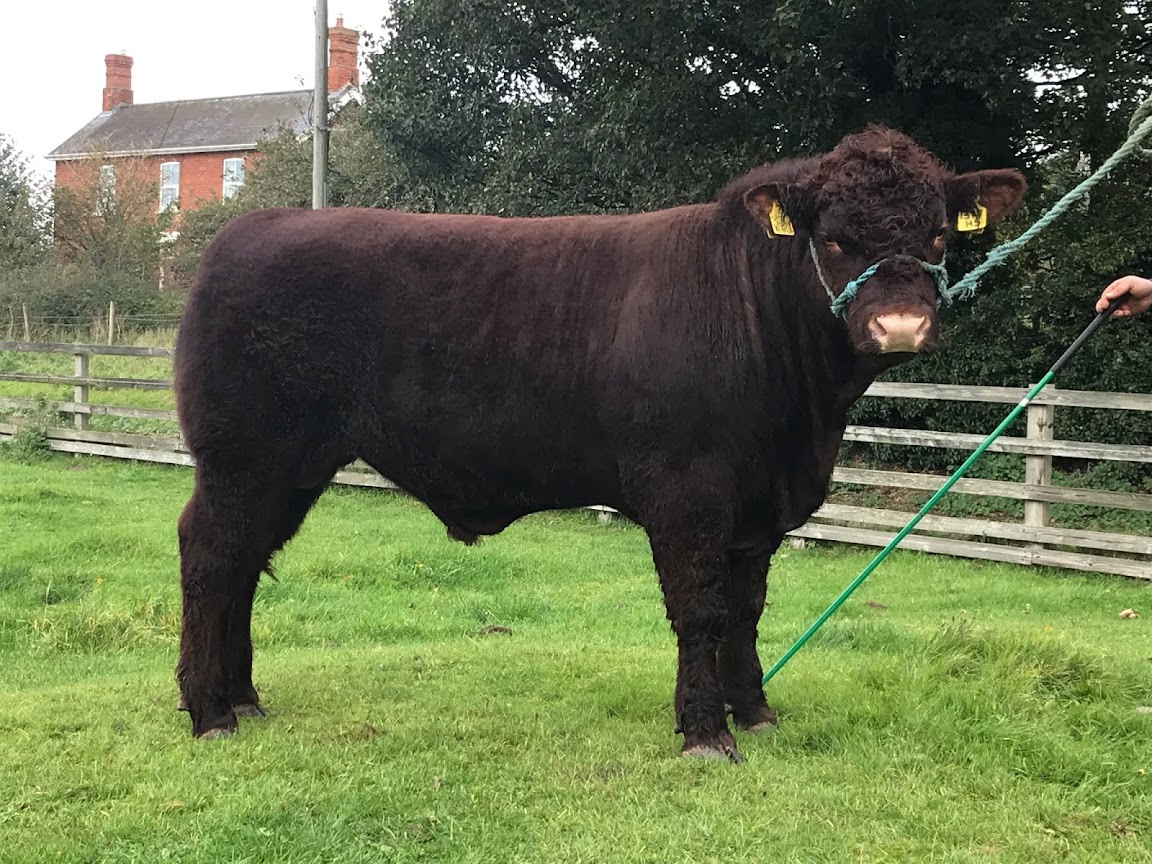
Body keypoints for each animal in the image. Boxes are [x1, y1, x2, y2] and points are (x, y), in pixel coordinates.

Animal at [173, 125, 1025, 761]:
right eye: (837, 238)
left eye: (939, 233)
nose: (900, 324)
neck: (802, 420)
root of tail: (251, 231)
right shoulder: (686, 488)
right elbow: (701, 608)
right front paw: (705, 733)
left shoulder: (757, 508)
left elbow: (747, 610)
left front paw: (754, 711)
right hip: (243, 457)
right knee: (211, 556)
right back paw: (207, 711)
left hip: (291, 468)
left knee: (246, 563)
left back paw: (243, 700)